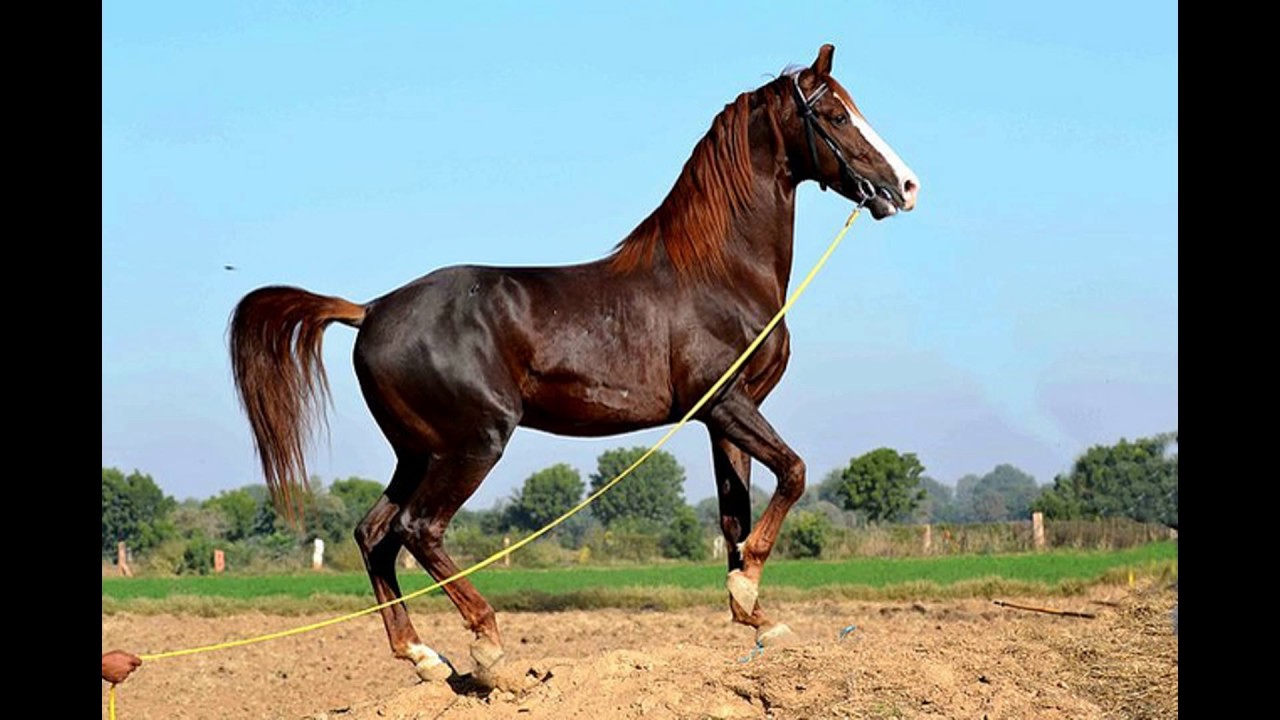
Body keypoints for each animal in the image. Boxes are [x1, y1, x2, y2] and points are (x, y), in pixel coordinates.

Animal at [230, 43, 918, 686]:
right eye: (834, 114)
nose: (906, 187)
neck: (716, 274)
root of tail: (370, 309)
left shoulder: (725, 418)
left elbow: (735, 515)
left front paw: (756, 614)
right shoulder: (726, 403)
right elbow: (795, 474)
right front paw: (749, 592)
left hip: (418, 452)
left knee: (375, 533)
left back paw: (423, 656)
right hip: (473, 444)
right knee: (418, 530)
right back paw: (486, 645)